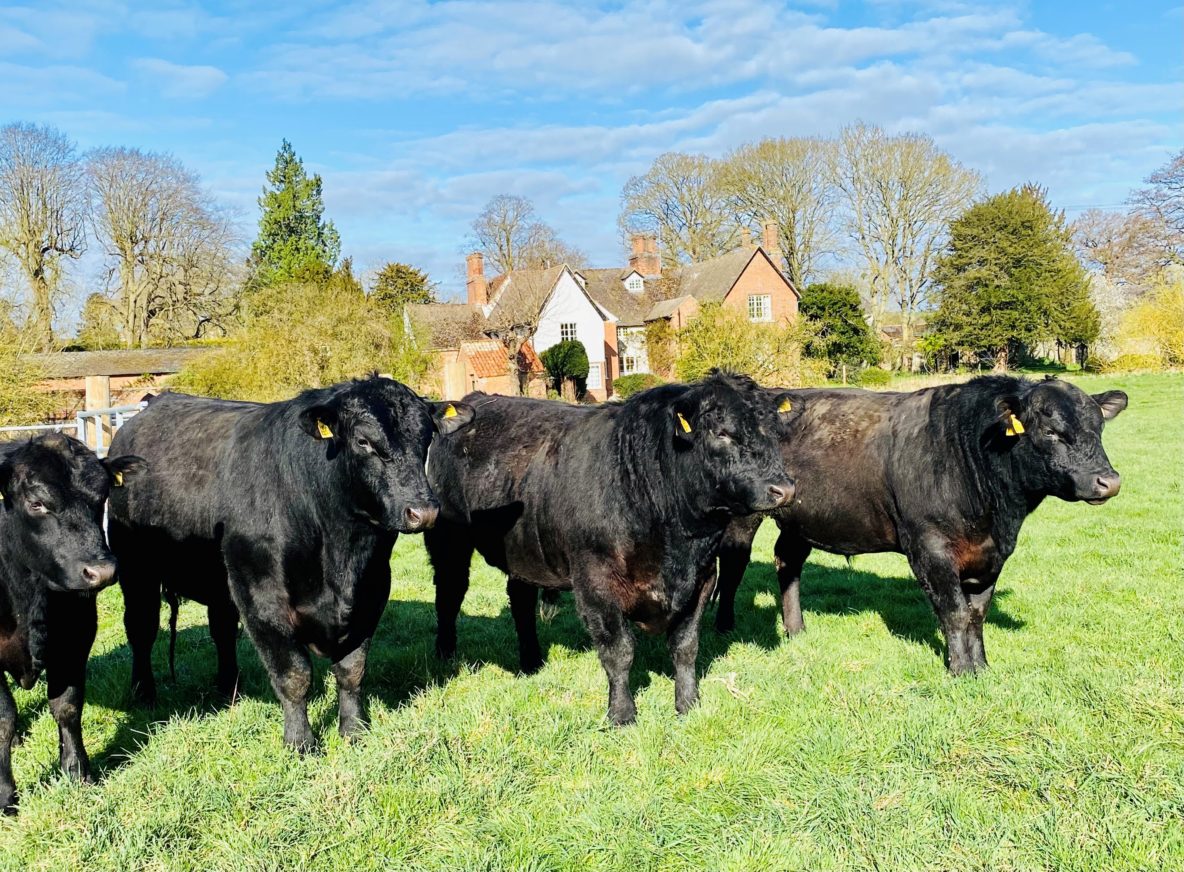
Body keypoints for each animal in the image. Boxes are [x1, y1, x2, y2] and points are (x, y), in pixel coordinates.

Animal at [0, 433, 144, 813]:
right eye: (36, 502)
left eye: (102, 497)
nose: (102, 570)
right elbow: (3, 719)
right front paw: (5, 795)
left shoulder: (77, 635)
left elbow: (66, 706)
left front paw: (77, 772)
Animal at [105, 376, 474, 751]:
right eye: (363, 441)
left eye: (426, 438)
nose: (423, 511)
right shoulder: (262, 598)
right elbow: (293, 675)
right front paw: (301, 743)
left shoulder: (372, 591)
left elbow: (352, 670)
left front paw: (354, 730)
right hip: (137, 572)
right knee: (142, 629)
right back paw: (144, 693)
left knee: (221, 628)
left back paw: (229, 688)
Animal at [425, 372, 796, 725]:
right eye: (721, 432)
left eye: (775, 432)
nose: (784, 489)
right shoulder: (596, 584)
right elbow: (619, 652)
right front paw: (622, 714)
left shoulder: (703, 578)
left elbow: (686, 646)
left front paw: (688, 704)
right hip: (448, 541)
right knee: (449, 594)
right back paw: (445, 653)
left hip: (524, 550)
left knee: (521, 600)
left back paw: (531, 661)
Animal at [711, 376, 1127, 675]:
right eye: (1050, 431)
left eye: (1099, 428)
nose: (1108, 481)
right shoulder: (930, 547)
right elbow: (954, 611)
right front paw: (960, 670)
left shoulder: (990, 555)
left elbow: (977, 614)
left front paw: (982, 665)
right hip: (744, 515)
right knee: (732, 566)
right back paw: (726, 625)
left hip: (801, 520)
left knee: (788, 562)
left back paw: (796, 629)